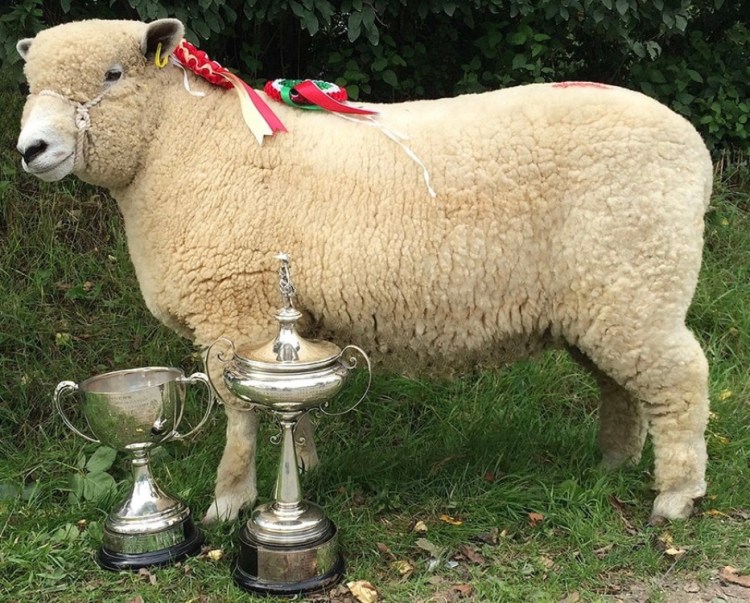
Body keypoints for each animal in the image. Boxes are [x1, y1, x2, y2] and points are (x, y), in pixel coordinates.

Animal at [16, 18, 713, 524]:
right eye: (27, 85)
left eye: (112, 74)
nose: (31, 150)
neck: (183, 146)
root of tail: (696, 150)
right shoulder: (279, 322)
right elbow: (289, 411)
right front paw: (305, 468)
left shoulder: (231, 309)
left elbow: (238, 416)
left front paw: (228, 502)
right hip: (601, 297)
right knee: (621, 387)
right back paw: (611, 466)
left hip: (638, 279)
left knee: (680, 379)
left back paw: (676, 495)